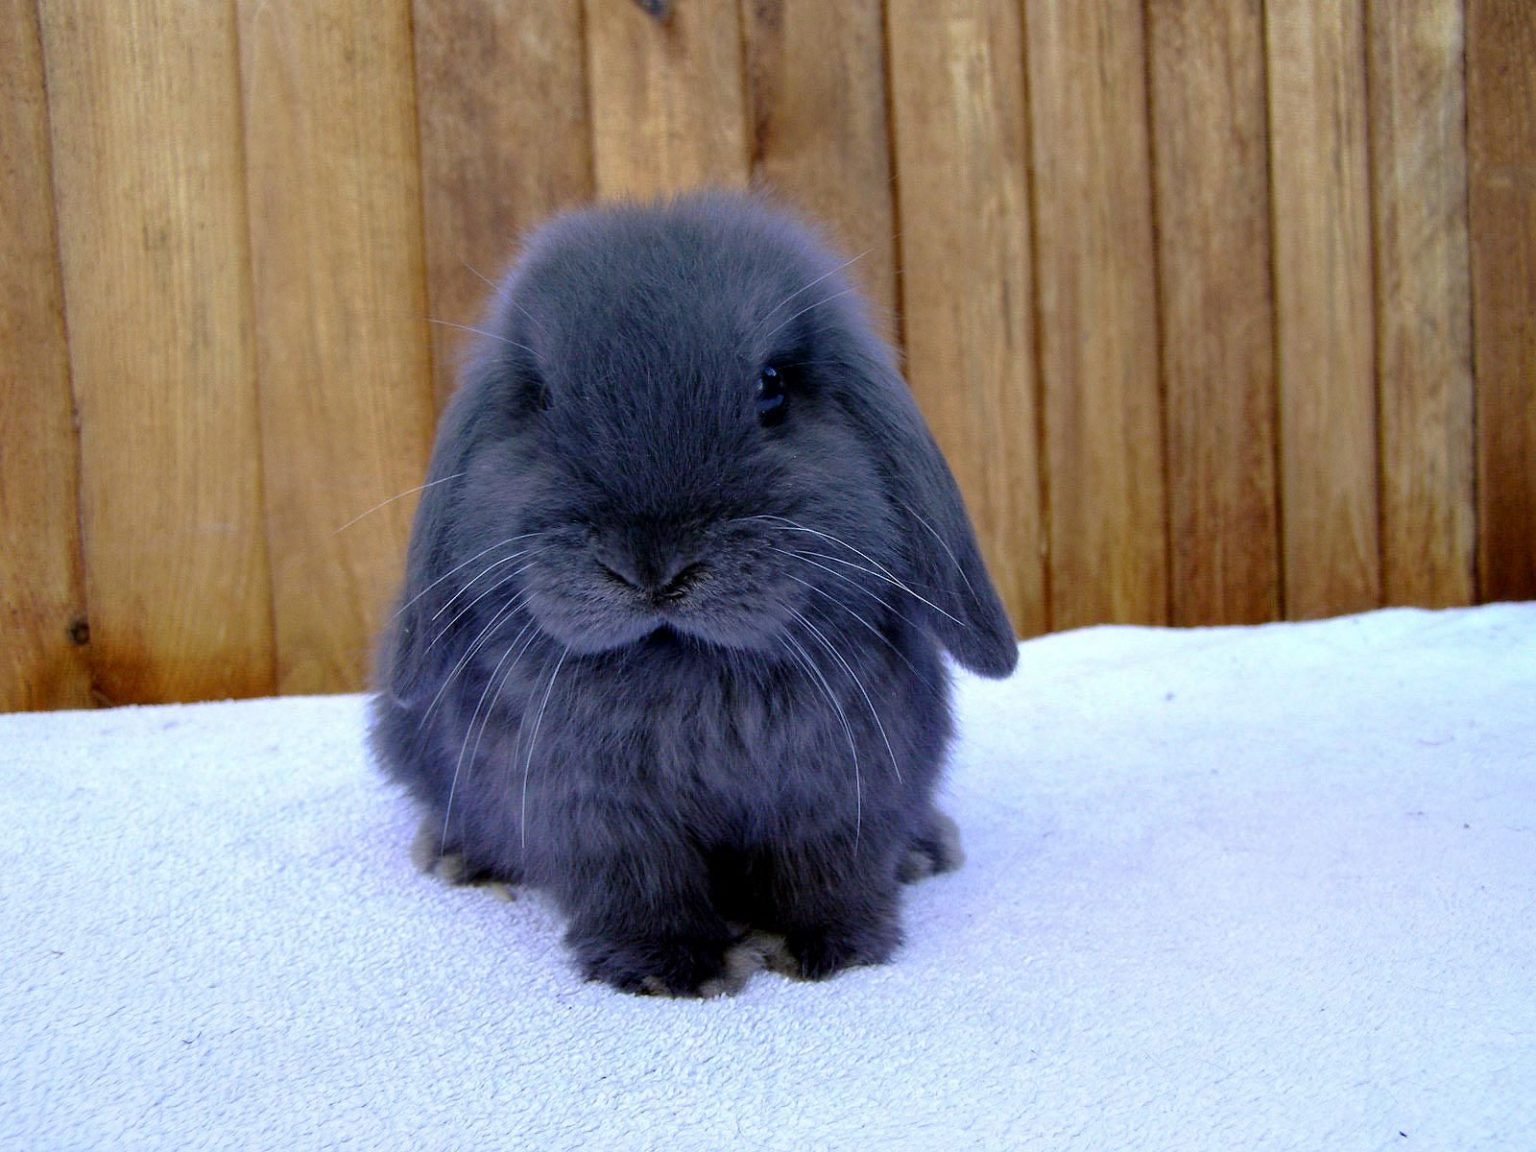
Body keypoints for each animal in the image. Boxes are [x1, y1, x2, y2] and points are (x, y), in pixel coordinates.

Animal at [370, 190, 1018, 997]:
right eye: (543, 398)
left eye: (772, 387)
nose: (652, 565)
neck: (692, 672)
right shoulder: (594, 812)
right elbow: (639, 886)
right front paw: (671, 972)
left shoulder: (843, 792)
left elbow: (827, 874)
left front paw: (830, 951)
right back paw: (456, 857)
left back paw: (926, 851)